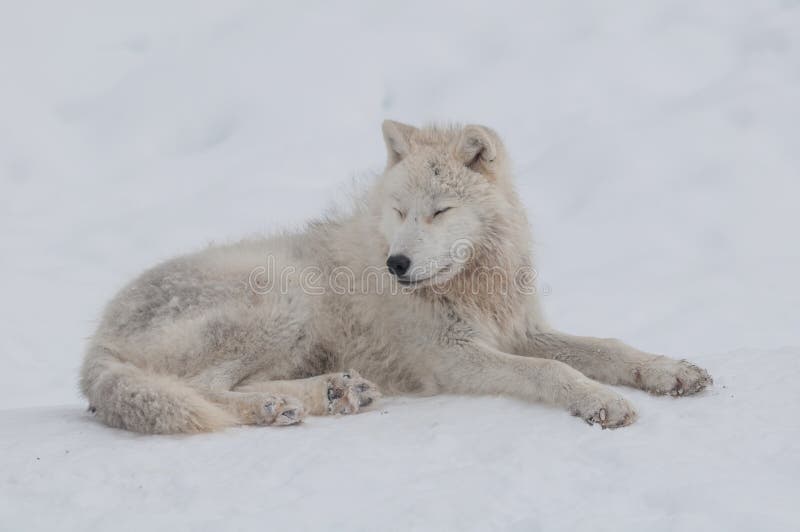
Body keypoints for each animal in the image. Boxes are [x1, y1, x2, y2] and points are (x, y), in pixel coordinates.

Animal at [80, 120, 712, 433]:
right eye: (400, 210)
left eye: (439, 211)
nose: (396, 264)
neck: (472, 284)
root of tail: (96, 342)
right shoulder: (455, 356)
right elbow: (552, 370)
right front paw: (600, 402)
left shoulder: (520, 331)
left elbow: (608, 346)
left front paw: (669, 371)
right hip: (283, 301)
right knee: (204, 389)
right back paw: (286, 405)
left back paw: (335, 393)